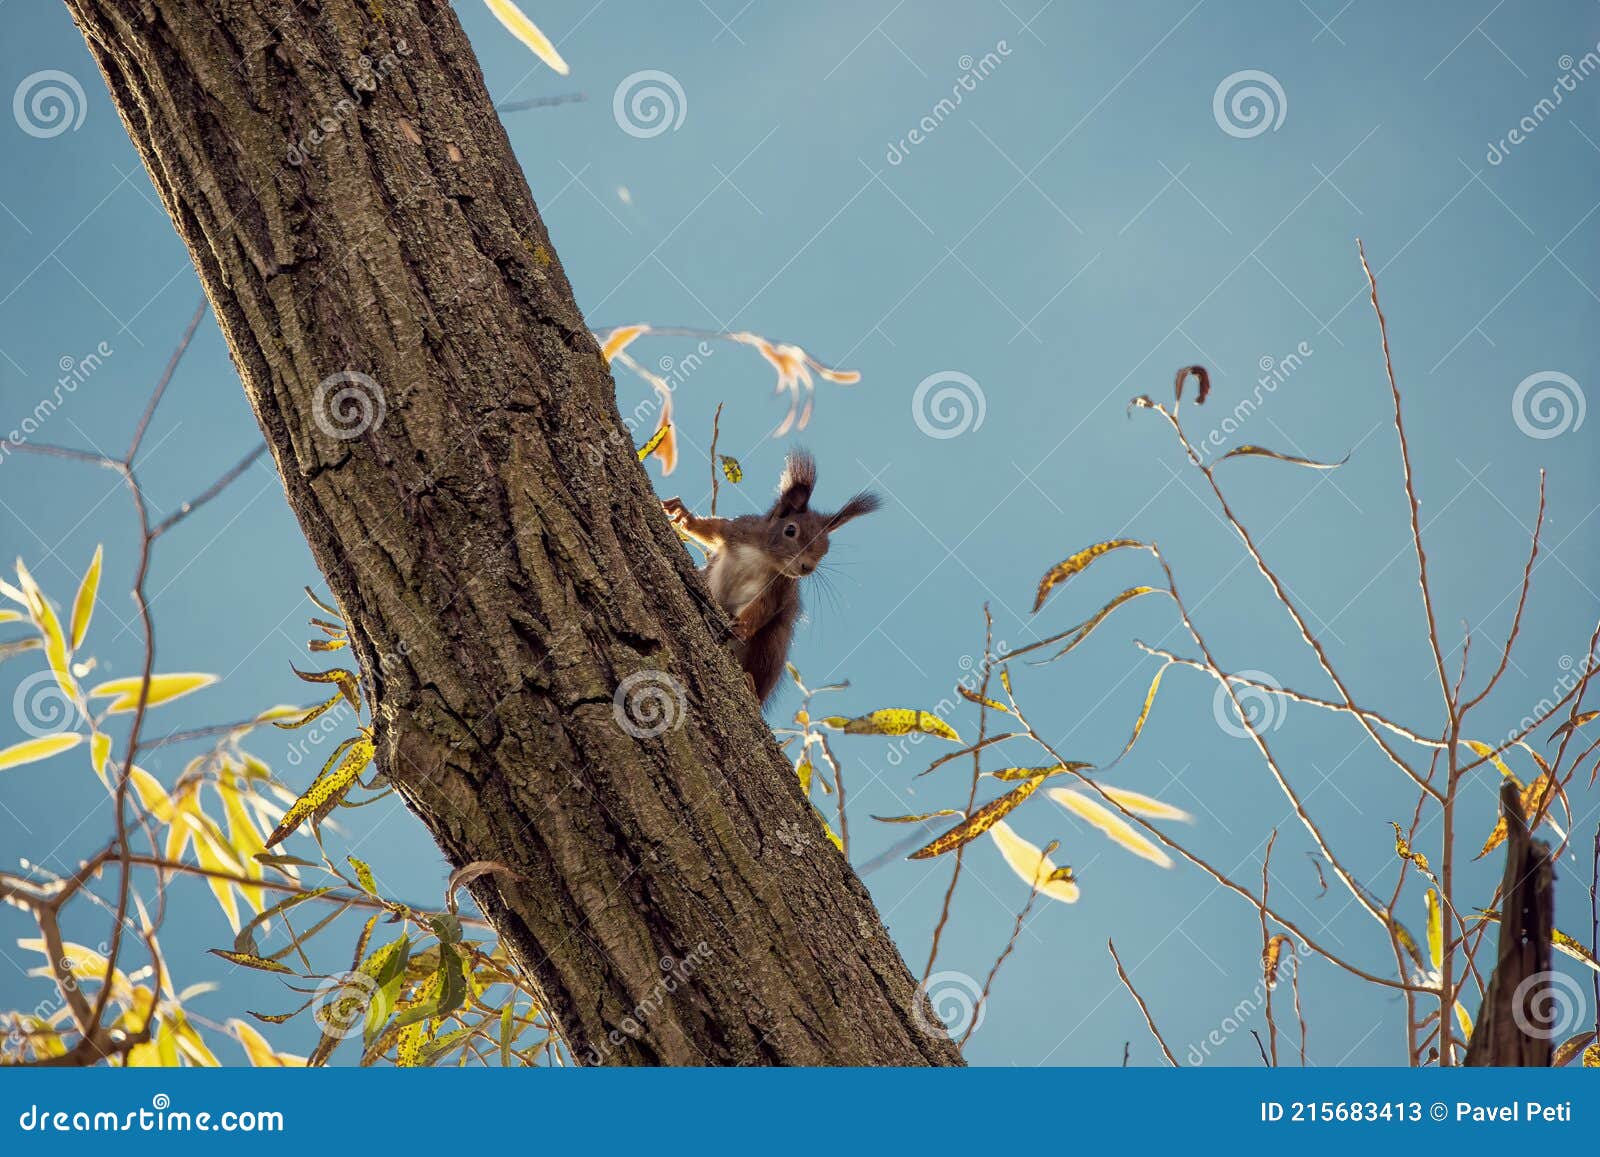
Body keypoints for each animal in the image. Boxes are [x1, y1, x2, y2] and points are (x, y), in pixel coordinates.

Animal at [662, 450, 880, 704]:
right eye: (790, 530)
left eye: (826, 548)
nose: (807, 567)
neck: (764, 557)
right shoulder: (739, 530)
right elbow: (712, 530)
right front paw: (684, 515)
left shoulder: (779, 588)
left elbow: (762, 609)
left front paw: (741, 628)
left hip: (771, 647)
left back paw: (750, 684)